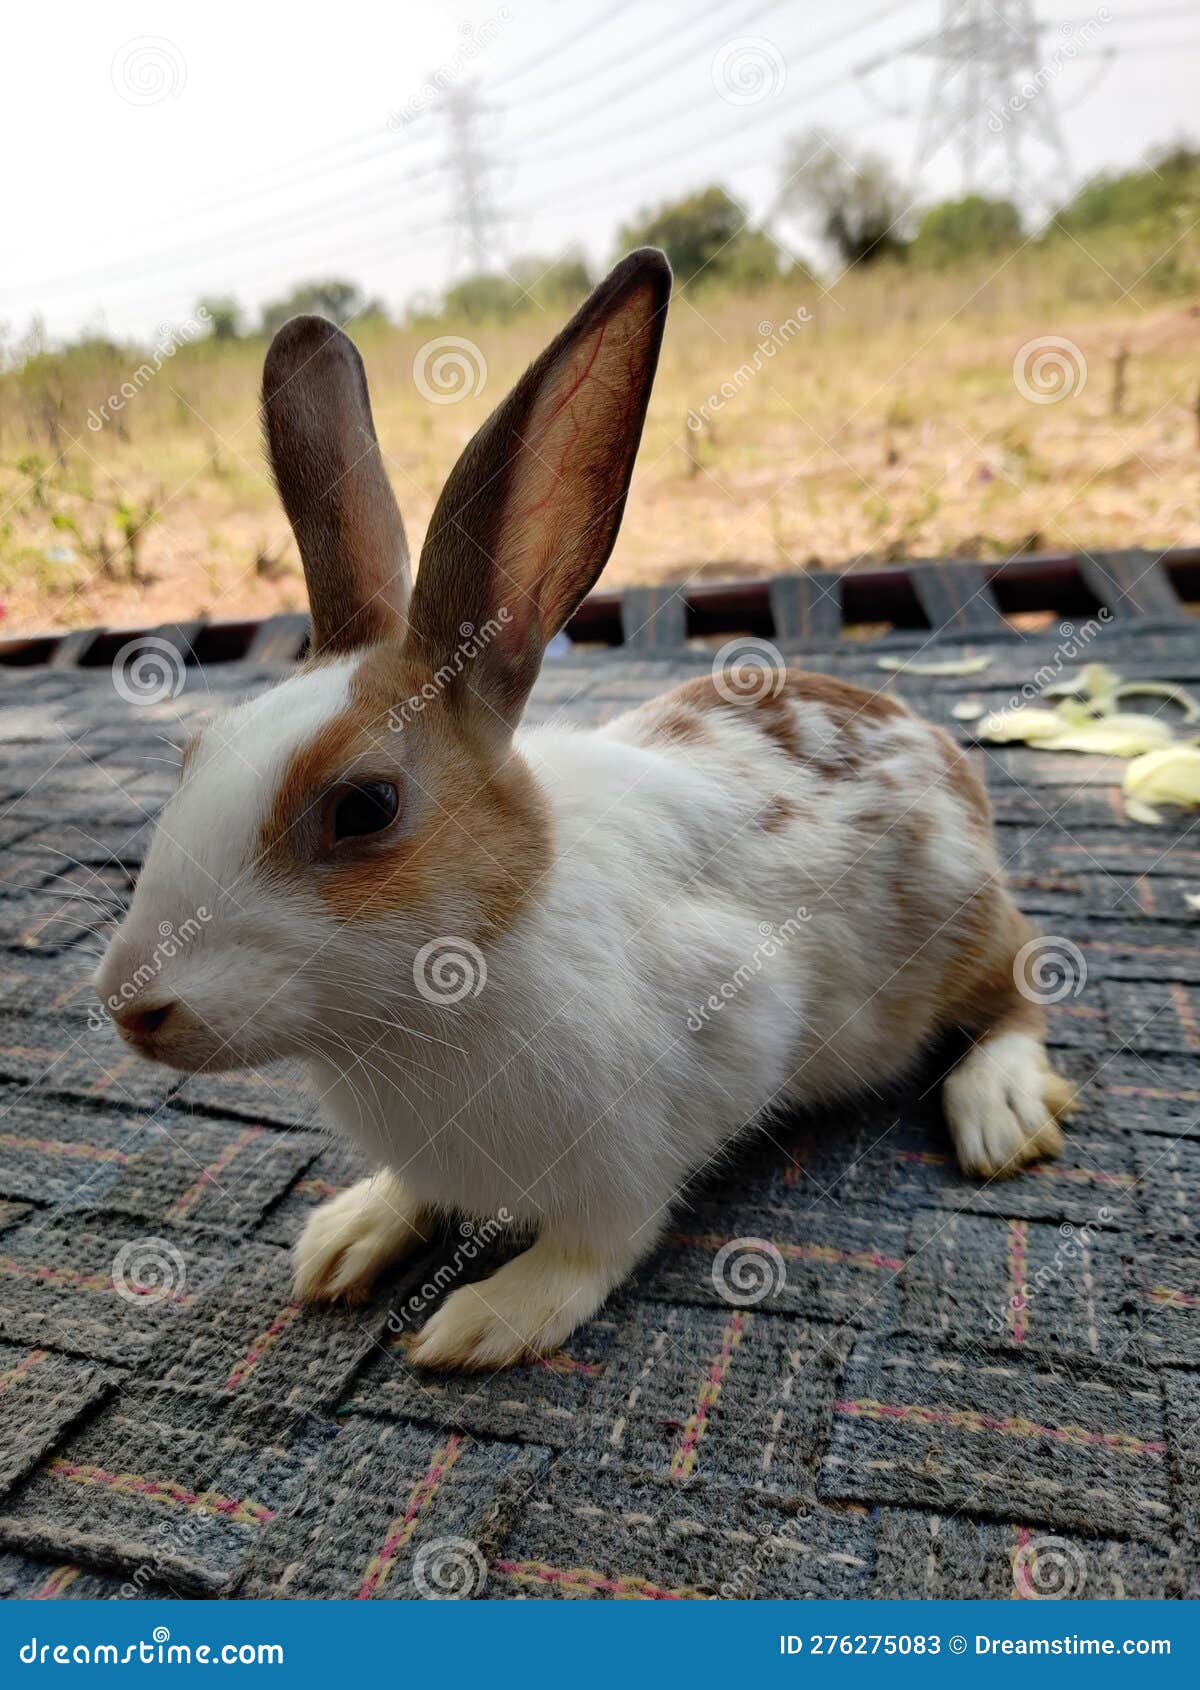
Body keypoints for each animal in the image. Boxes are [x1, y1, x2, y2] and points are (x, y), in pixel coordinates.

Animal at [93, 248, 1070, 1372]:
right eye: (193, 754)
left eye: (365, 807)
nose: (132, 1007)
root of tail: (938, 747)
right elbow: (415, 1194)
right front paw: (345, 1238)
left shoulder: (671, 1104)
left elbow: (601, 1238)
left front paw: (489, 1319)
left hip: (960, 928)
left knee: (1020, 987)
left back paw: (1000, 1112)